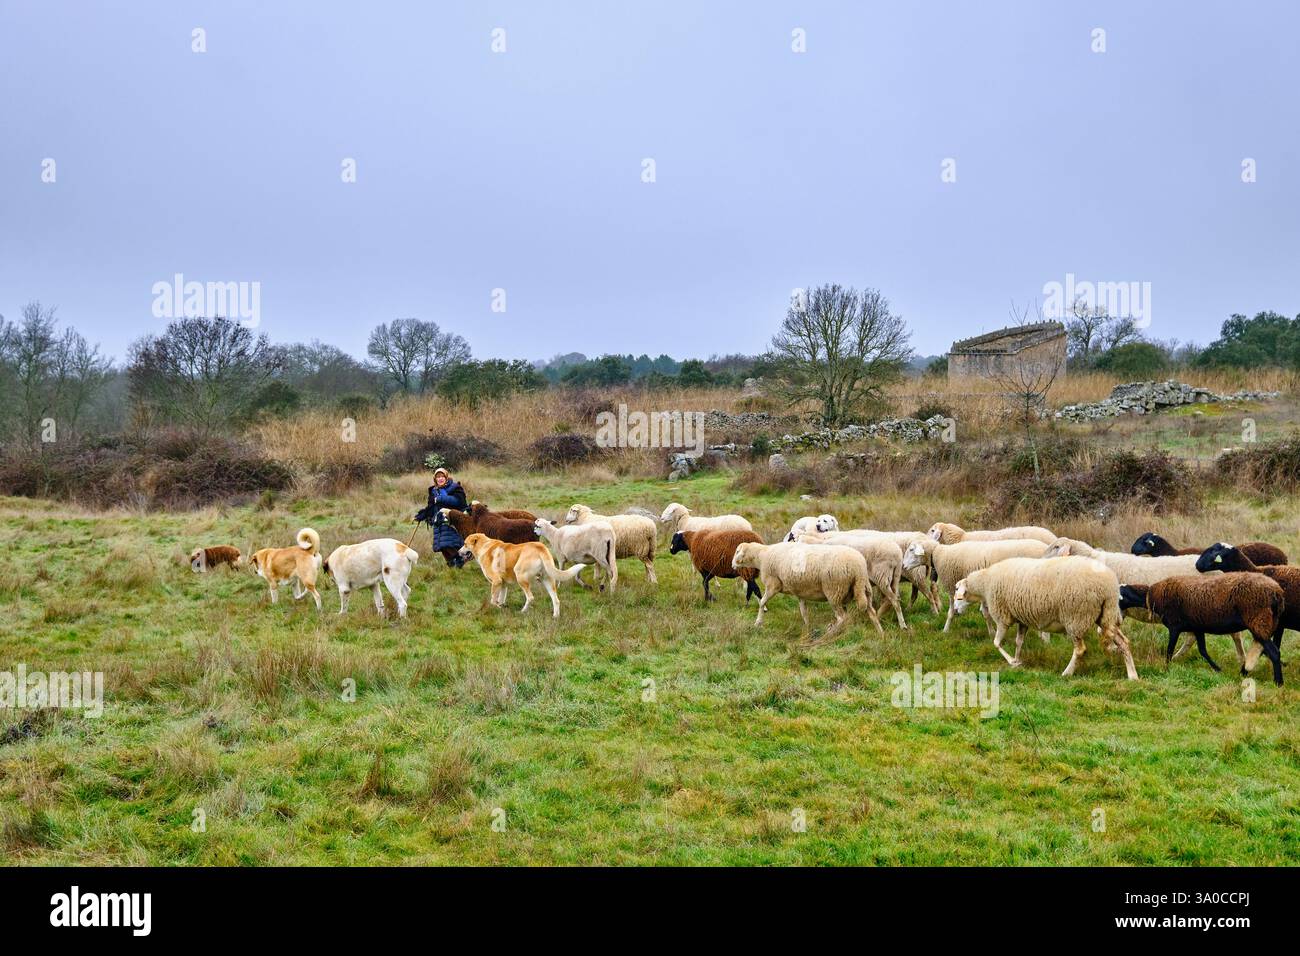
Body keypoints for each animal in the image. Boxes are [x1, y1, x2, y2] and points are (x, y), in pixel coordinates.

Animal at [731, 541, 880, 640]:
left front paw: (758, 622)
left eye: (737, 552)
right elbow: (804, 612)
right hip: (864, 589)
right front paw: (807, 628)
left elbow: (762, 602)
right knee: (872, 613)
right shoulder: (800, 592)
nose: (732, 565)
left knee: (842, 618)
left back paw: (828, 635)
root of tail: (858, 568)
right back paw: (881, 634)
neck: (762, 556)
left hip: (834, 591)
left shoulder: (773, 585)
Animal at [902, 537, 1049, 632]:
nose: (903, 566)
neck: (939, 554)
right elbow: (984, 612)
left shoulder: (953, 588)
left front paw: (945, 630)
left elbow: (952, 611)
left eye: (911, 550)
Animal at [953, 556, 1138, 680]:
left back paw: (1067, 673)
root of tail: (1109, 586)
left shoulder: (1003, 617)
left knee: (1080, 649)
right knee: (1123, 642)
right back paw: (1132, 675)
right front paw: (1017, 661)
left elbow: (996, 643)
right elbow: (1019, 642)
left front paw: (1012, 661)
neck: (985, 583)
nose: (954, 610)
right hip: (1106, 614)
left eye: (958, 593)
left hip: (1076, 616)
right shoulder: (1022, 618)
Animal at [1119, 573, 1286, 685]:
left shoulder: (1174, 626)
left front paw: (1165, 669)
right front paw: (1217, 669)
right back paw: (1244, 673)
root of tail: (1277, 592)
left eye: (1120, 595)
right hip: (1266, 622)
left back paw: (1278, 682)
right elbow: (1203, 650)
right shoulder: (1197, 627)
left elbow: (1169, 650)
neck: (1153, 597)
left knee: (1274, 652)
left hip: (1259, 621)